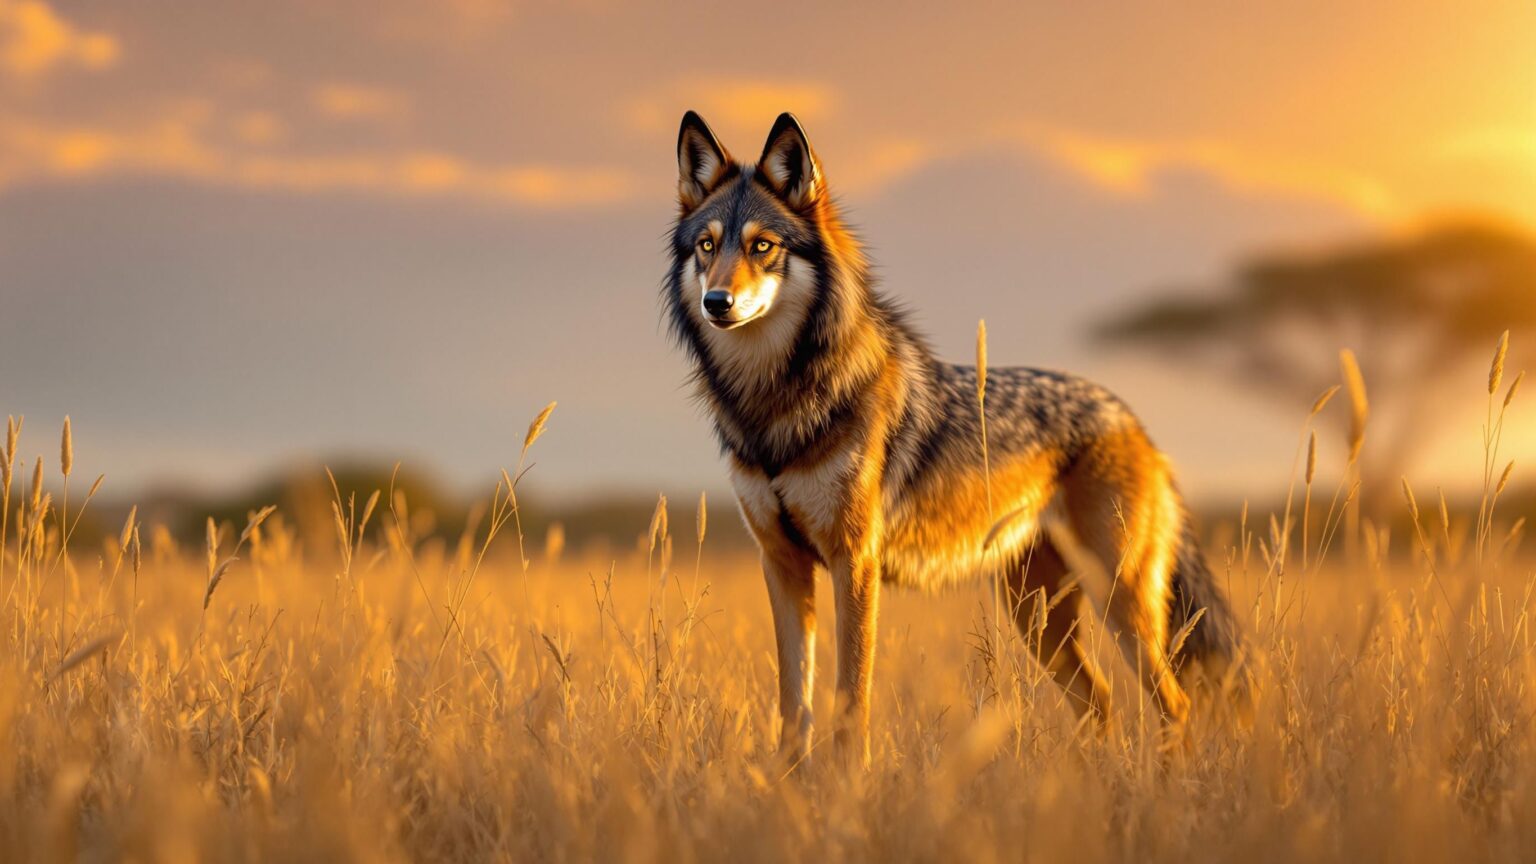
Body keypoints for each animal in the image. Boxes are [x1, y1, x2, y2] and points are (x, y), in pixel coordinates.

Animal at [663, 111, 1243, 765]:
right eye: (707, 246)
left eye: (762, 246)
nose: (717, 302)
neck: (773, 401)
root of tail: (1132, 420)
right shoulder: (781, 565)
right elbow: (794, 710)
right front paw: (790, 786)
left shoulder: (853, 564)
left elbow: (851, 705)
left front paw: (847, 786)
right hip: (1038, 618)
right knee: (1102, 704)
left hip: (1116, 603)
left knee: (1175, 704)